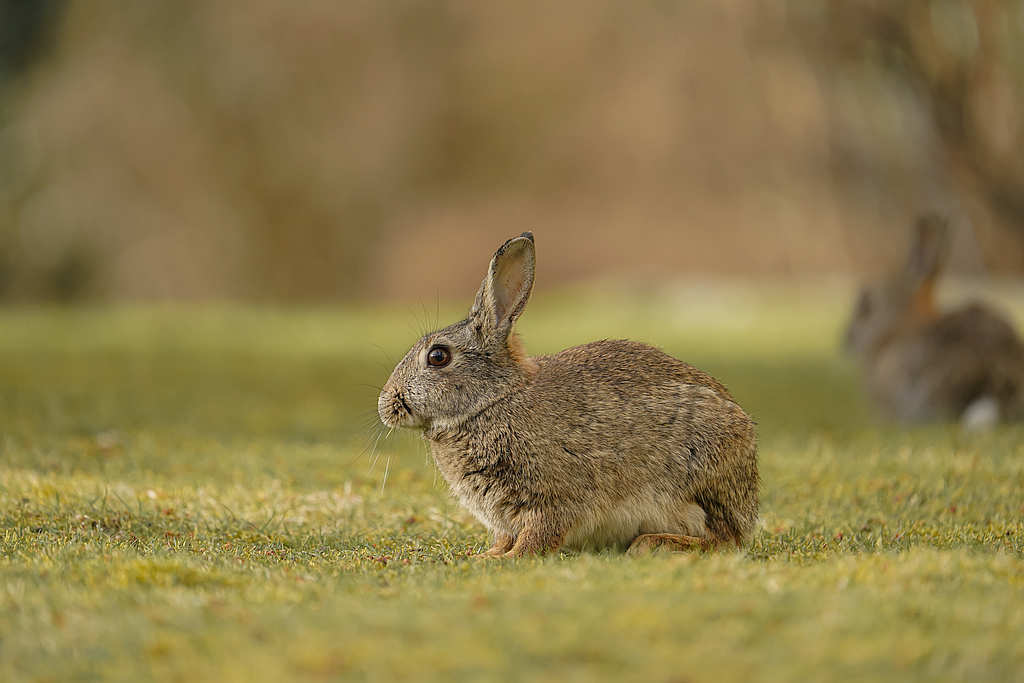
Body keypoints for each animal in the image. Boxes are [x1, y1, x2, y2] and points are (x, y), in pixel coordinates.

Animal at [378, 232, 759, 557]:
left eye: (437, 357)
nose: (386, 405)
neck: (493, 400)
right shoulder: (504, 515)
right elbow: (503, 538)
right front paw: (487, 555)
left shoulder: (552, 496)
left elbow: (538, 535)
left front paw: (507, 559)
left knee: (724, 539)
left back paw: (652, 543)